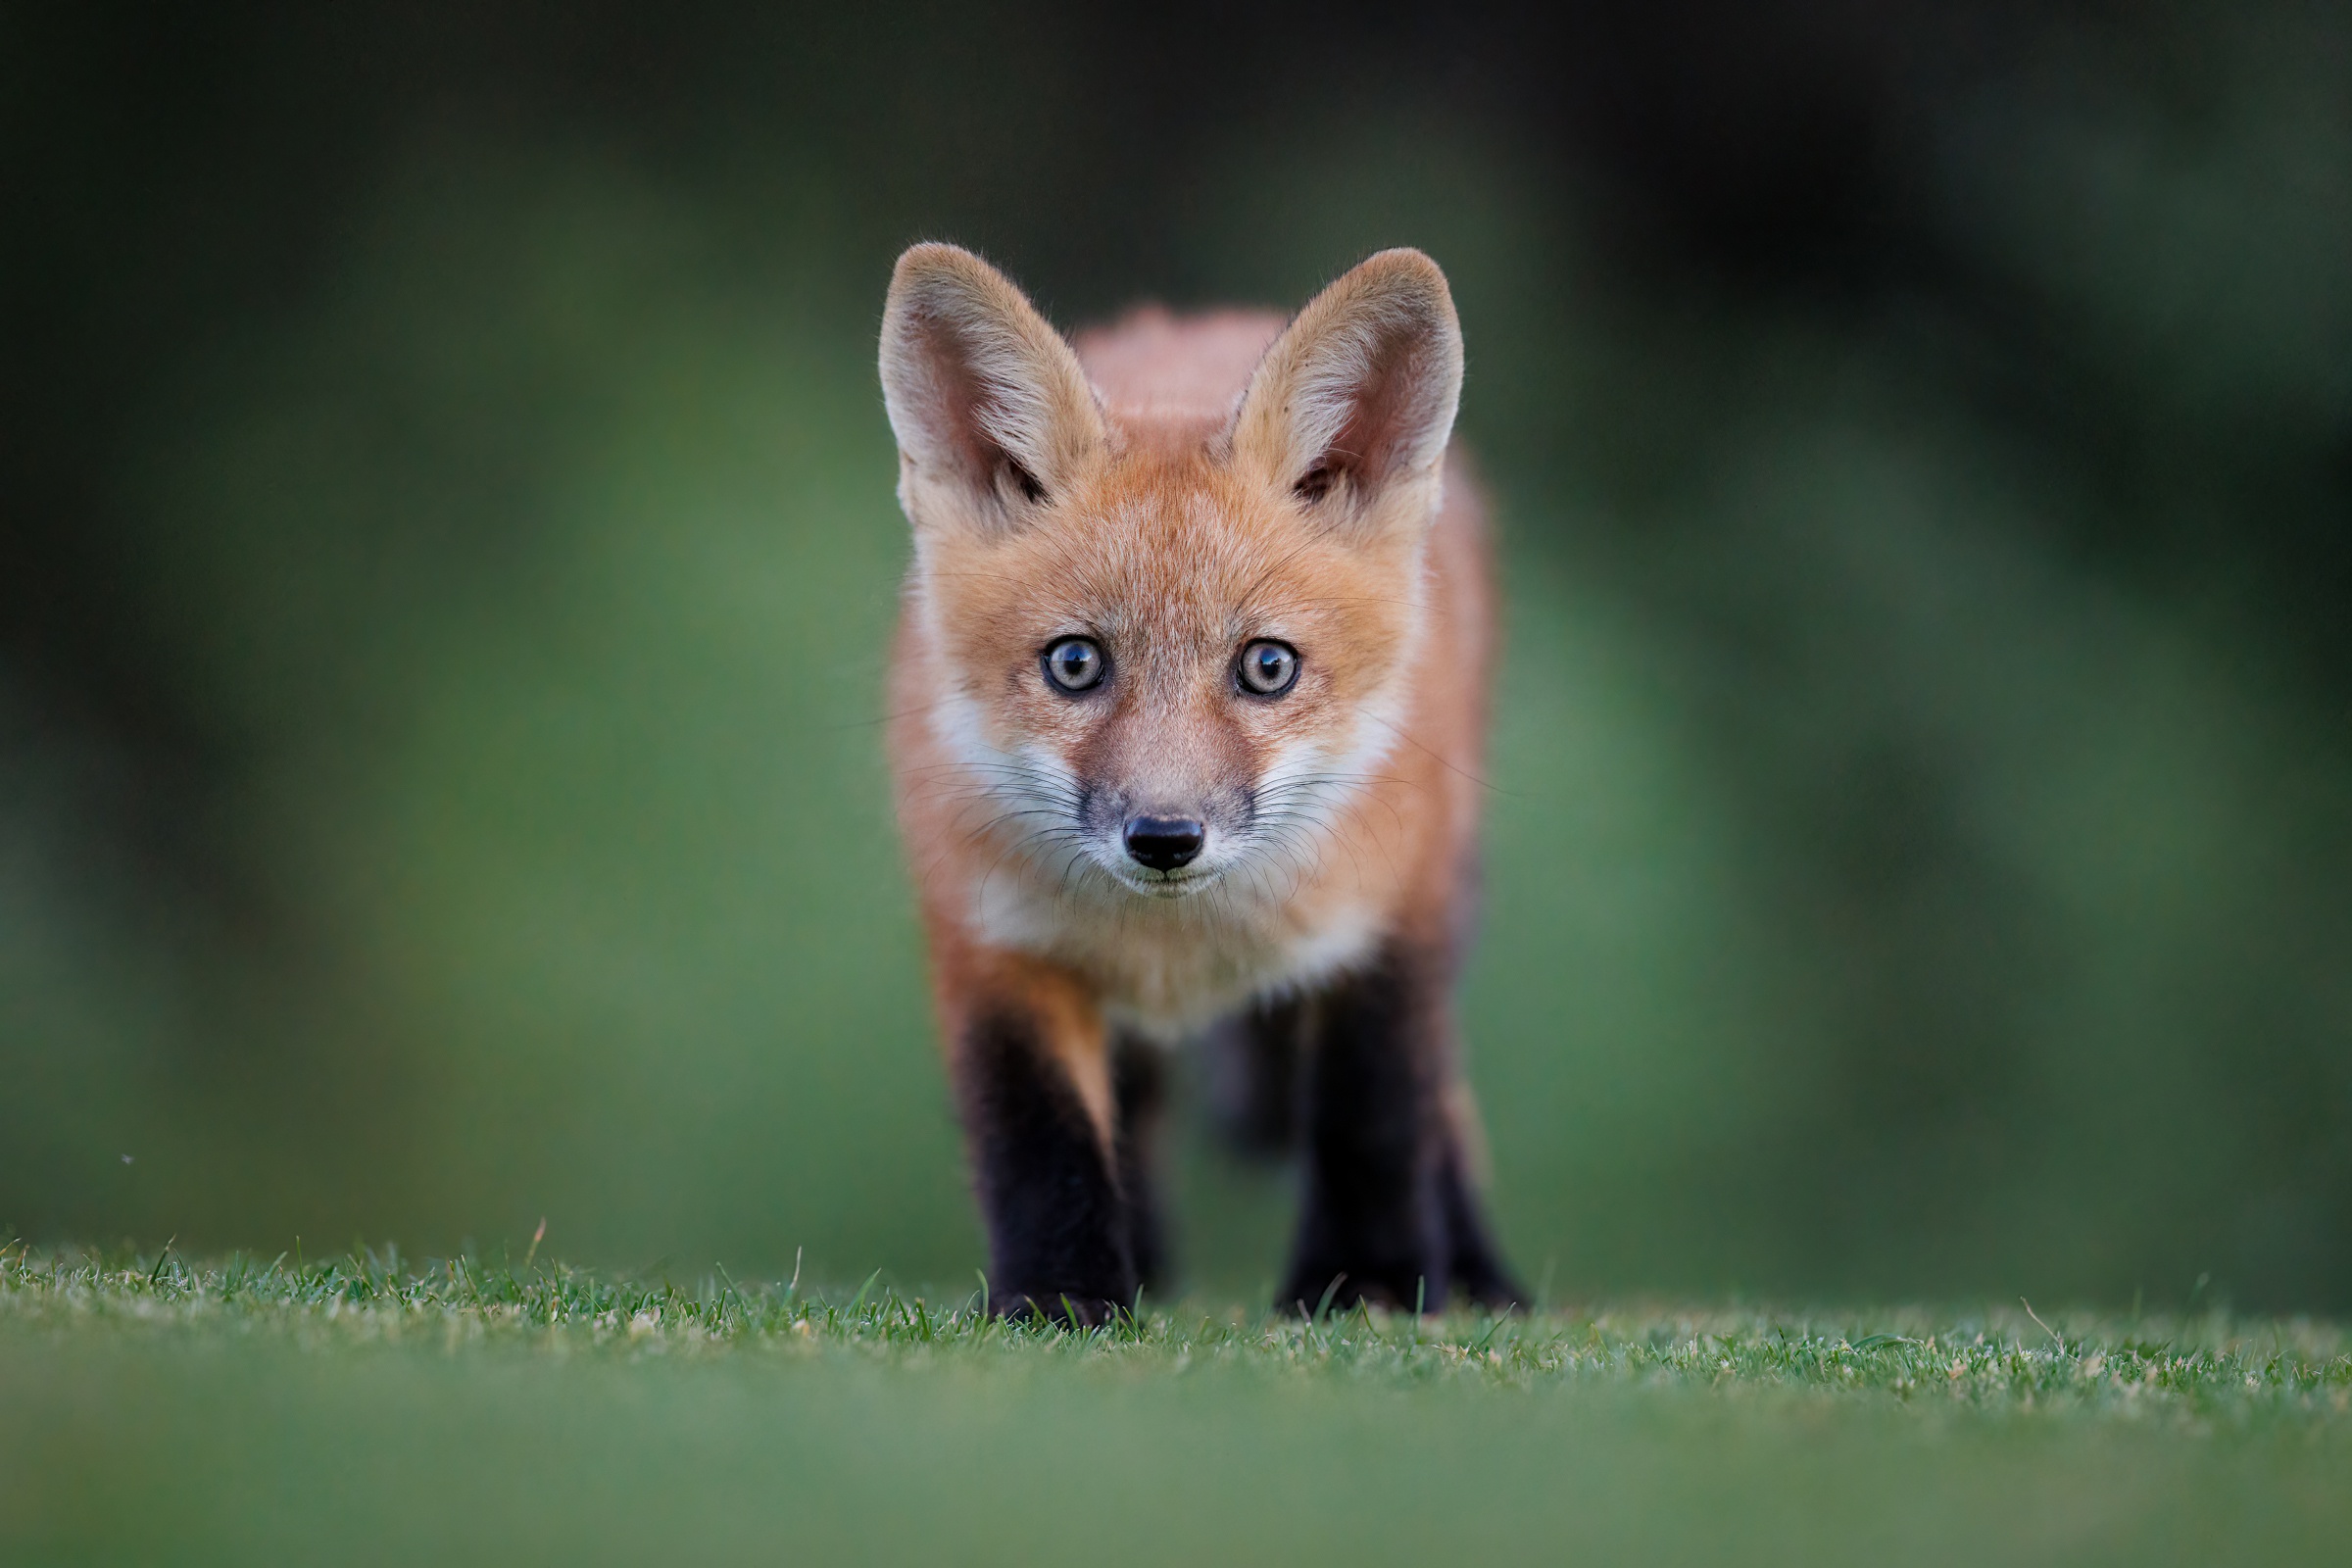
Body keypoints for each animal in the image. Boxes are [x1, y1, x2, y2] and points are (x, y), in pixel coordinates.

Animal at [877, 242, 1524, 1323]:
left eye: (1268, 667)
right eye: (1075, 664)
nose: (1165, 837)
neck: (1182, 947)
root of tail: (1209, 319)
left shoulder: (1394, 922)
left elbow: (1376, 1113)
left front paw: (1370, 1282)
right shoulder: (989, 941)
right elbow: (1038, 1136)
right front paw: (1061, 1295)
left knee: (1447, 1101)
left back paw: (1477, 1269)